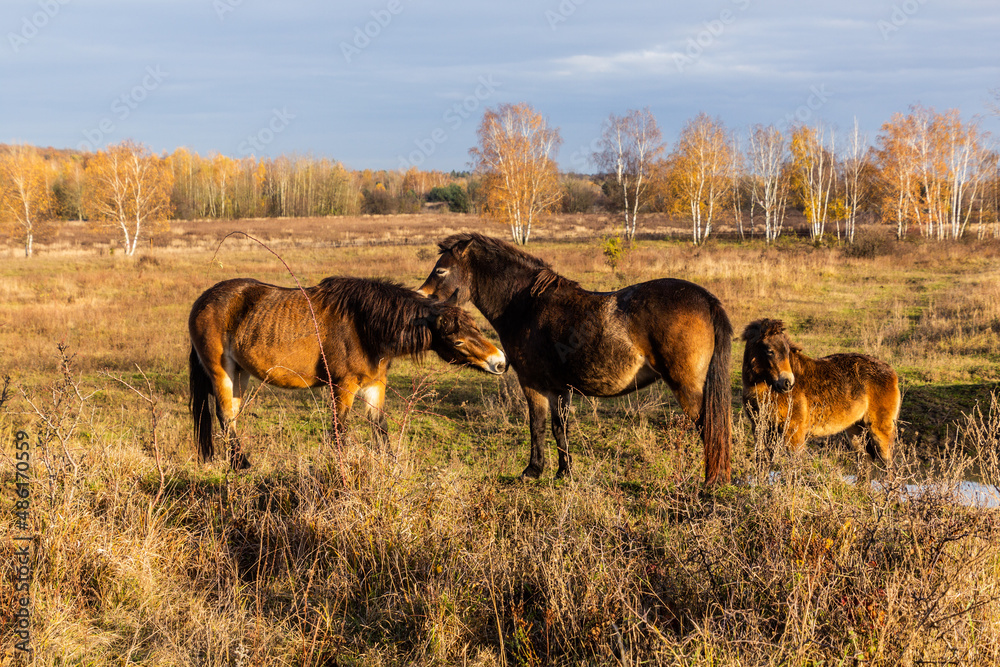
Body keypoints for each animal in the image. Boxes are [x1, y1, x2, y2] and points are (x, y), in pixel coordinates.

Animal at [189, 276, 507, 469]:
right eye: (457, 341)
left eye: (476, 326)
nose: (500, 362)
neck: (363, 325)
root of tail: (204, 299)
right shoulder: (343, 387)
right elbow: (339, 430)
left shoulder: (375, 385)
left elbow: (380, 427)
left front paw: (390, 464)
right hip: (221, 371)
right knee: (224, 414)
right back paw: (241, 464)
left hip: (240, 374)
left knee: (232, 416)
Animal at [417, 233, 733, 485]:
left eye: (441, 270)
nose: (421, 298)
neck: (527, 306)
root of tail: (706, 299)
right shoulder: (561, 388)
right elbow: (560, 429)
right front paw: (563, 472)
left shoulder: (533, 384)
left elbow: (537, 425)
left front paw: (532, 471)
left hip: (686, 387)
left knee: (708, 428)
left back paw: (711, 481)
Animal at [740, 318, 900, 463]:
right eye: (769, 351)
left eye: (786, 351)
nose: (787, 383)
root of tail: (891, 371)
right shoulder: (761, 430)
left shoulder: (794, 433)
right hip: (856, 431)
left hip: (880, 431)